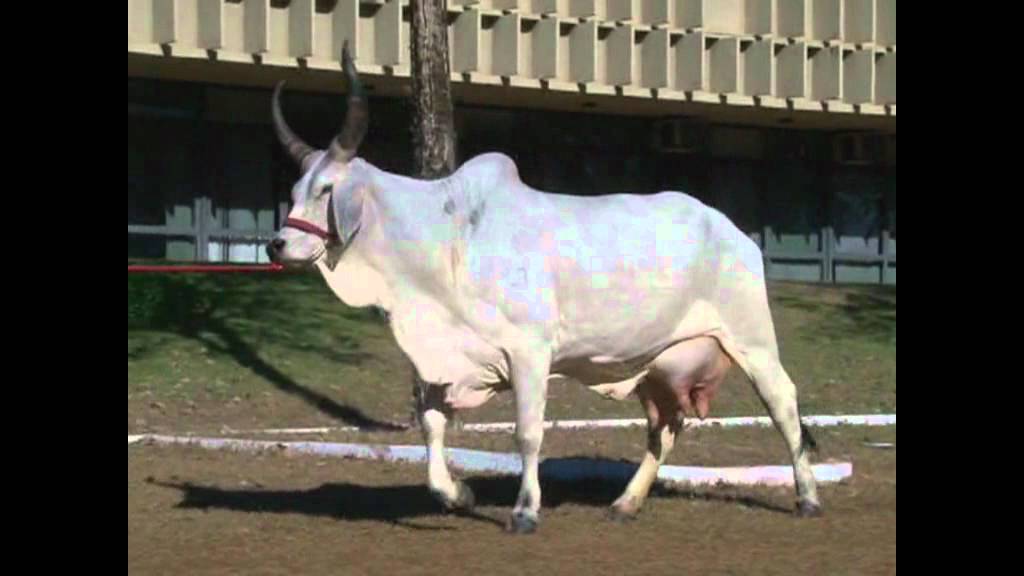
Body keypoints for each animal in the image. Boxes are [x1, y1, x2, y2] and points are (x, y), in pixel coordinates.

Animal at [267, 44, 822, 534]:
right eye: (293, 190)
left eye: (325, 190)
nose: (277, 244)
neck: (451, 239)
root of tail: (732, 231)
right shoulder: (446, 362)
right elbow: (431, 424)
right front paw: (457, 494)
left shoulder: (530, 352)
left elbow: (527, 433)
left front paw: (525, 511)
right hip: (660, 365)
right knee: (665, 429)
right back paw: (625, 503)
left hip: (751, 340)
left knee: (785, 405)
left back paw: (808, 498)